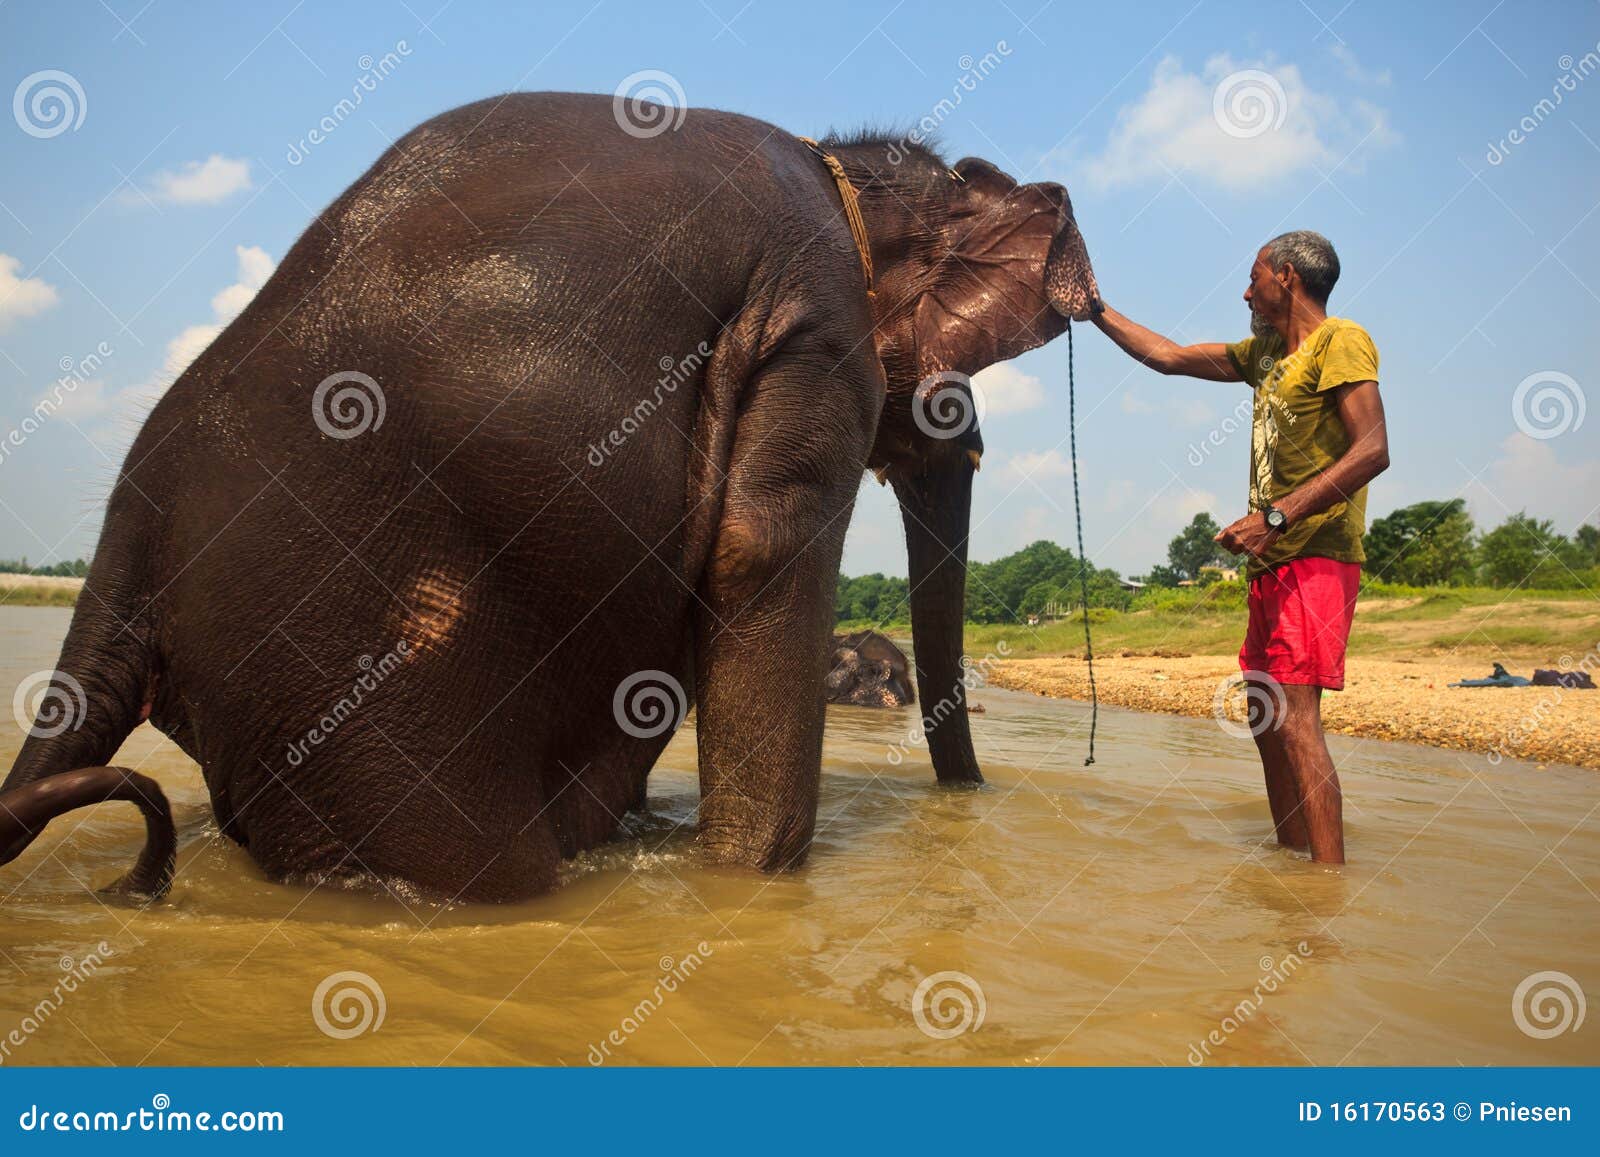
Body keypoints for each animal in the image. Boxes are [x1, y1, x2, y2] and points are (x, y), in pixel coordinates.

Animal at [0, 91, 1097, 902]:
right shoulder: (812, 316)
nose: (973, 794)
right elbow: (759, 549)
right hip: (342, 674)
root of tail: (125, 547)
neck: (842, 166)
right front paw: (748, 888)